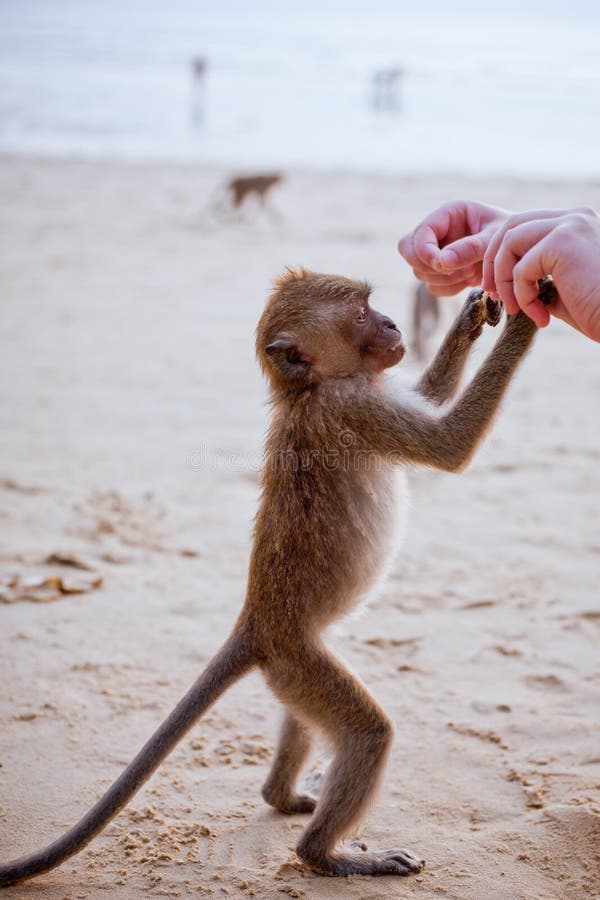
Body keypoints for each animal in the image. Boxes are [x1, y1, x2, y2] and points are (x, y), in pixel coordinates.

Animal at [0, 268, 541, 887]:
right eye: (361, 314)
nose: (393, 325)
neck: (308, 390)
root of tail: (256, 622)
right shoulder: (354, 407)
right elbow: (450, 443)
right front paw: (529, 318)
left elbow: (429, 397)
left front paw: (475, 314)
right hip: (295, 659)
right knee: (368, 733)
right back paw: (327, 854)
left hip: (290, 668)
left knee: (303, 716)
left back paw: (284, 795)